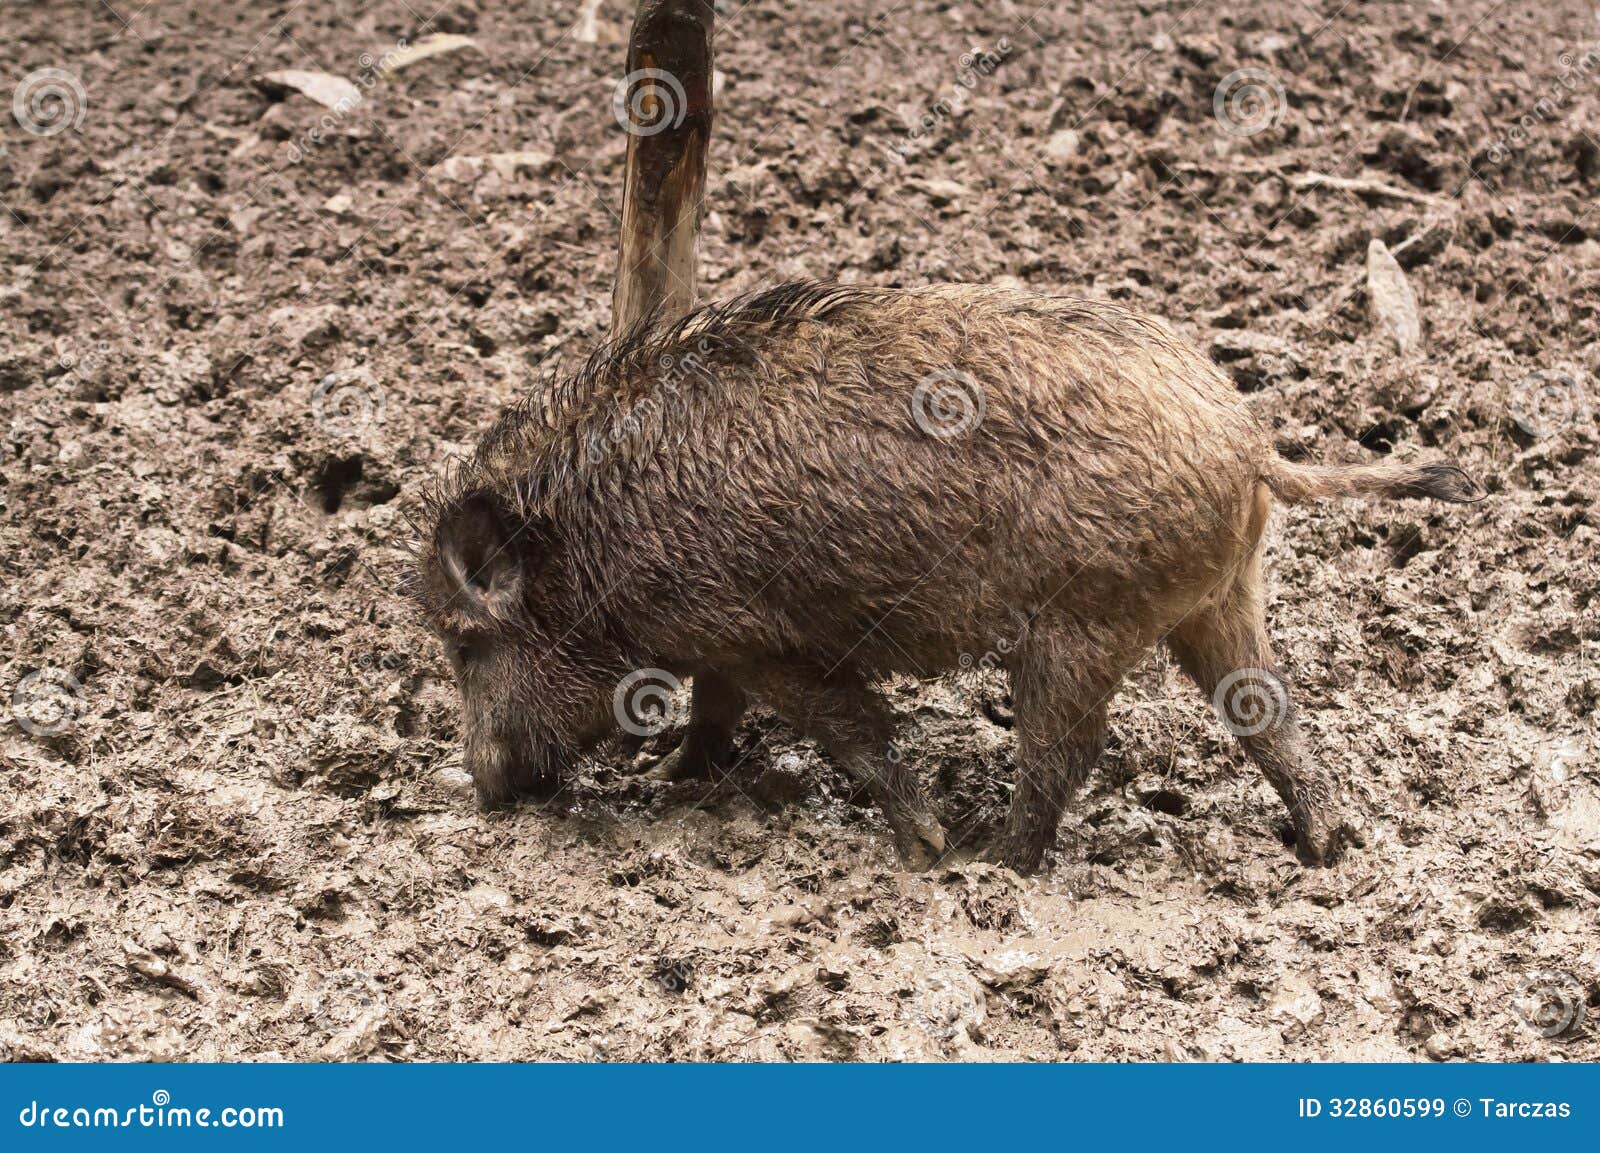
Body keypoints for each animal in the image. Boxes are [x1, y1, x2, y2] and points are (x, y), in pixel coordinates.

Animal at [407, 282, 1477, 873]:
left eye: (465, 646)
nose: (483, 790)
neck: (587, 542)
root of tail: (1250, 443)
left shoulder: (767, 636)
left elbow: (851, 728)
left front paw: (923, 847)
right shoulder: (721, 643)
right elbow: (714, 710)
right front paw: (670, 774)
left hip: (1083, 619)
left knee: (1067, 748)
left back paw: (995, 864)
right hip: (1222, 594)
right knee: (1267, 710)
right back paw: (1329, 849)